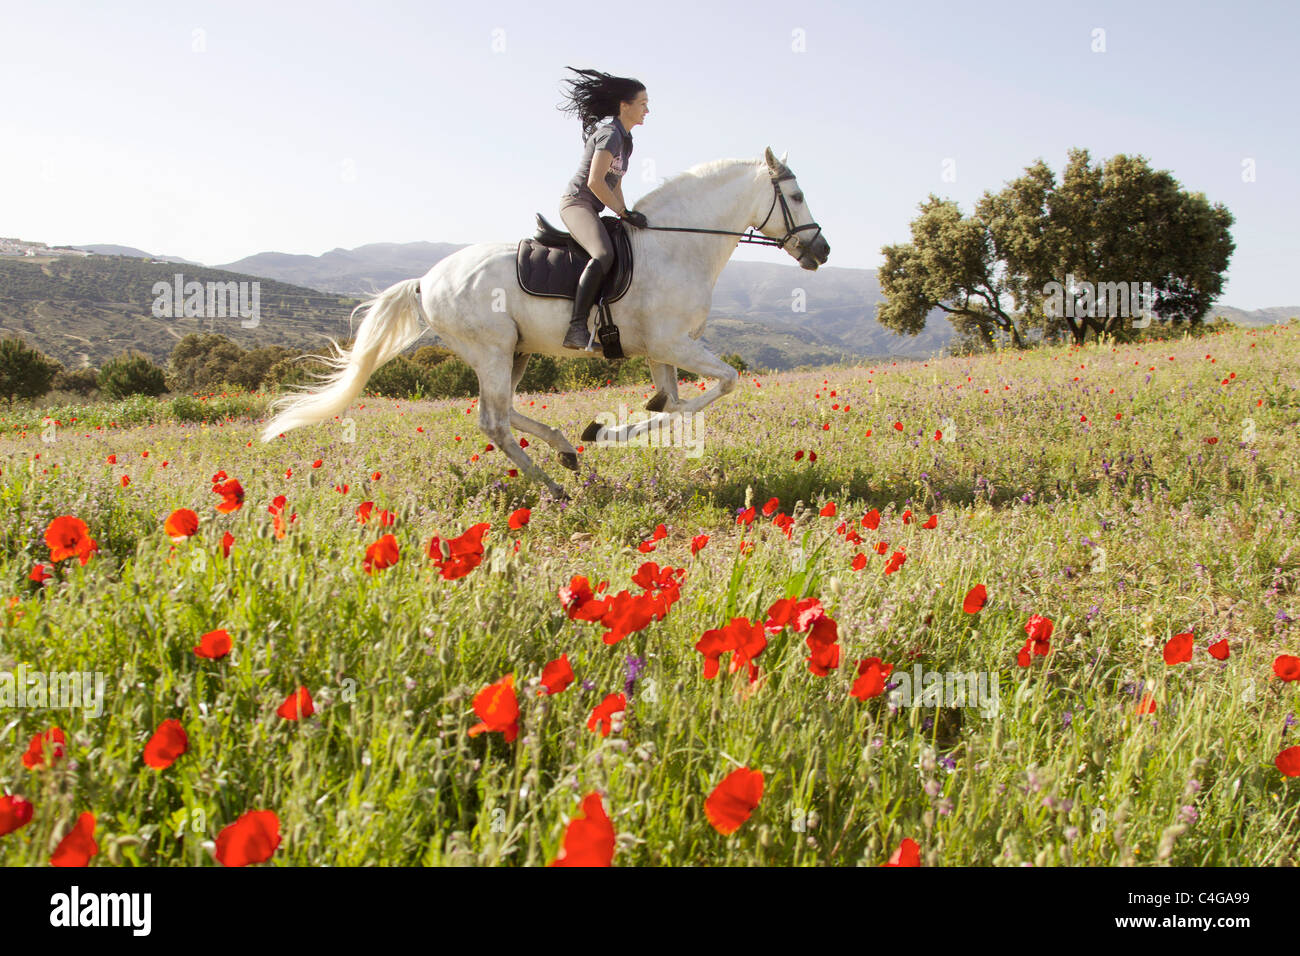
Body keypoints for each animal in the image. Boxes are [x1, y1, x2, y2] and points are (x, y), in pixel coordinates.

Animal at [259, 146, 830, 499]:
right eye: (797, 196)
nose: (821, 251)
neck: (677, 245)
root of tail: (426, 281)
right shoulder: (672, 343)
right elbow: (718, 387)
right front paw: (607, 432)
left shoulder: (661, 350)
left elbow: (674, 405)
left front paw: (607, 429)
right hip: (491, 350)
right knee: (493, 420)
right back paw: (556, 486)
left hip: (516, 352)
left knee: (503, 412)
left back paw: (566, 451)